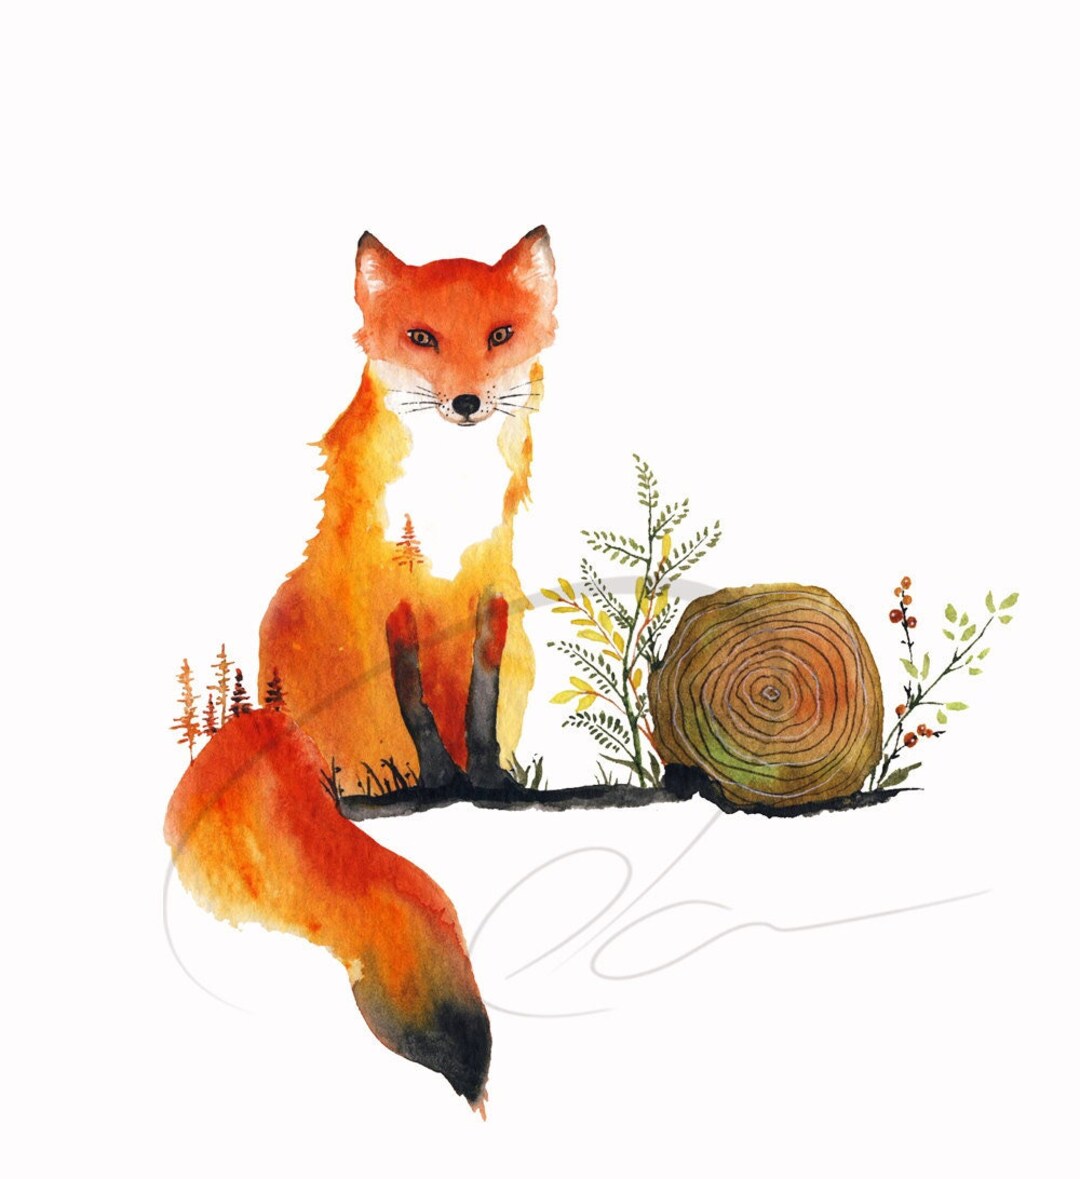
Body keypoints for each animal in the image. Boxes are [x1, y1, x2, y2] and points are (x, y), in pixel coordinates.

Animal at [165, 228, 558, 1113]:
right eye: (422, 337)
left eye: (499, 335)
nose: (467, 403)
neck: (449, 501)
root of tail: (264, 720)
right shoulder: (389, 590)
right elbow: (411, 701)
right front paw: (438, 775)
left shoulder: (492, 586)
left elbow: (477, 700)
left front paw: (486, 776)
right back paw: (378, 781)